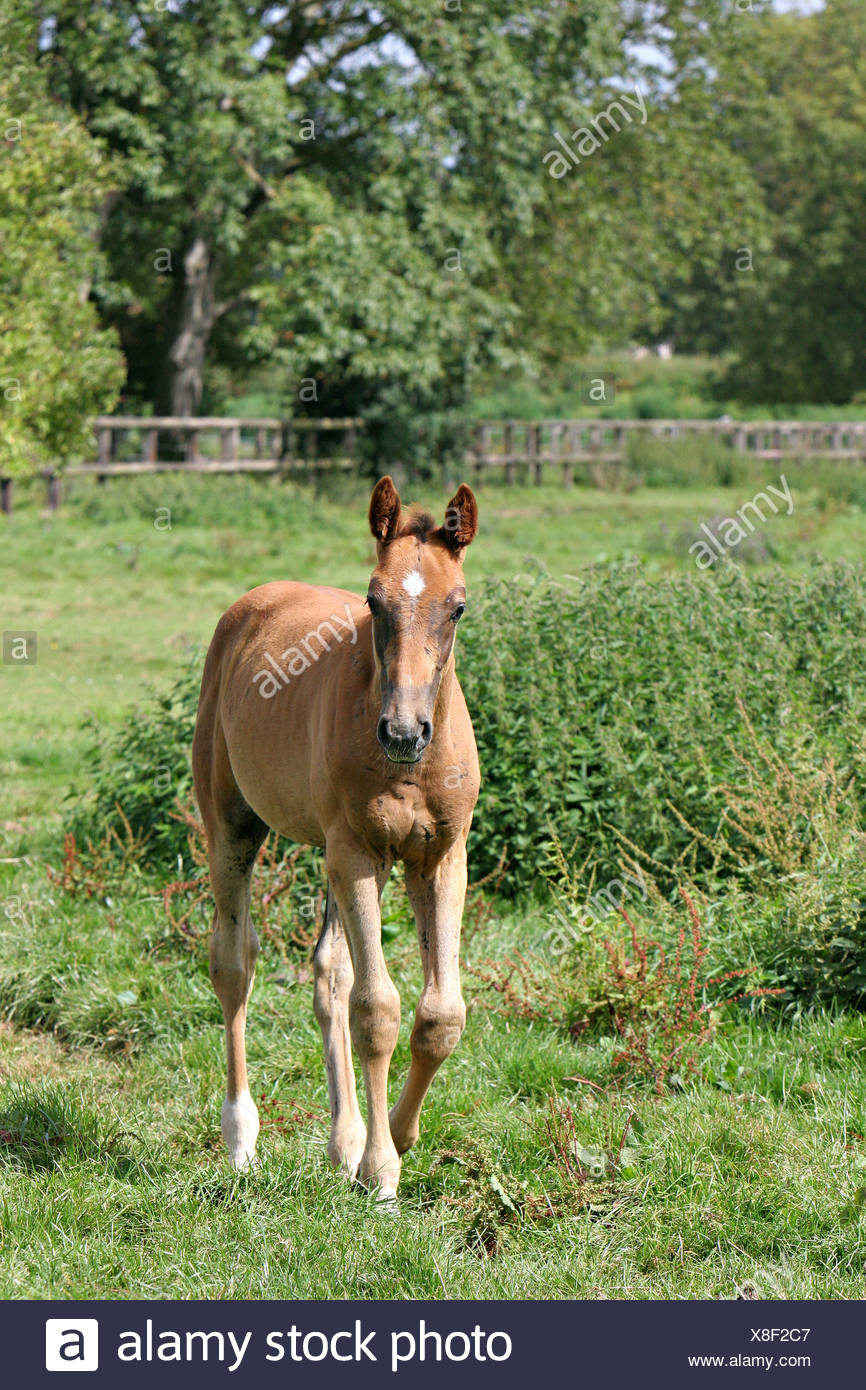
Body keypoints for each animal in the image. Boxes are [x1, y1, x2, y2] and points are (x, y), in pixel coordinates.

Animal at [192, 475, 480, 1198]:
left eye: (458, 607)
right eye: (374, 601)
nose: (403, 732)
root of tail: (254, 601)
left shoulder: (441, 857)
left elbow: (439, 1015)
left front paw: (395, 1139)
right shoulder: (358, 854)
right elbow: (375, 1011)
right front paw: (382, 1174)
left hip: (332, 856)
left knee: (329, 974)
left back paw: (343, 1142)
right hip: (233, 824)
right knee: (234, 963)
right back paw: (241, 1139)